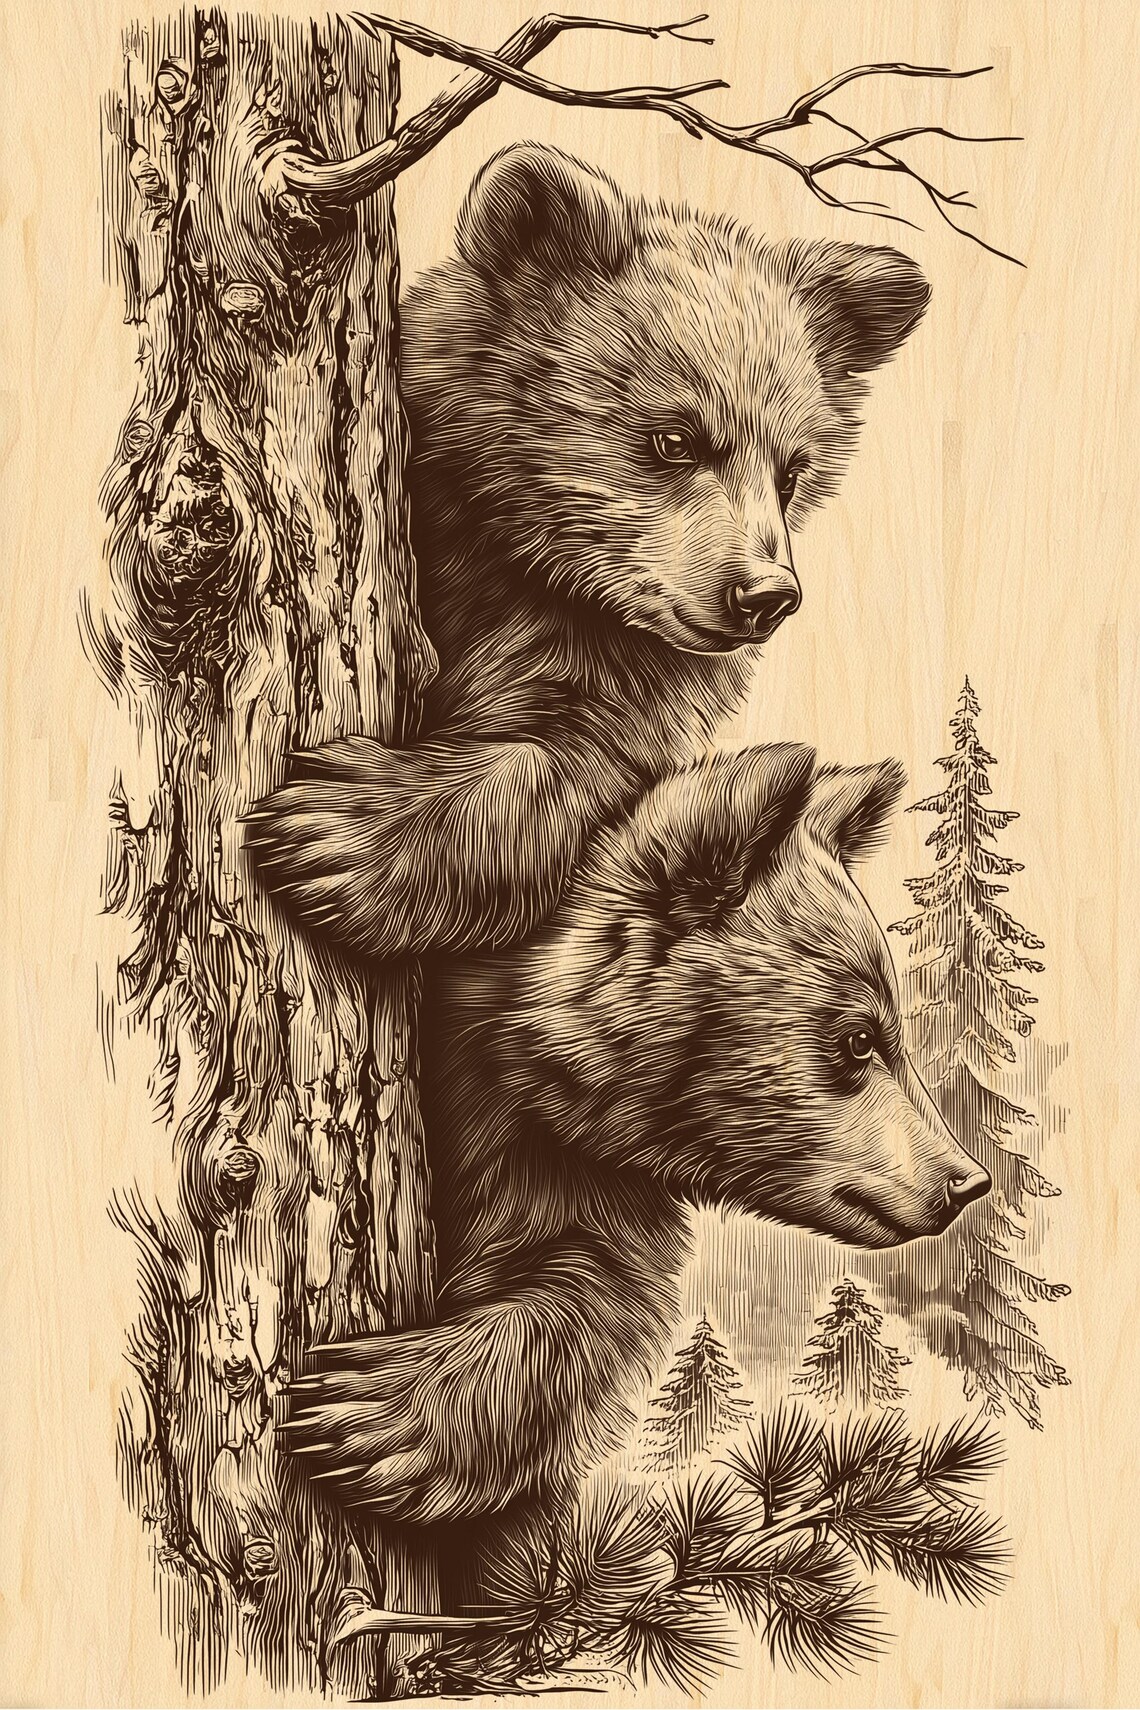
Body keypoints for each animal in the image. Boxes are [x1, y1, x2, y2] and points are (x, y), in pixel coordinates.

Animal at [245, 145, 930, 958]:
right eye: (674, 440)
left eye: (791, 471)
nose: (765, 596)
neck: (533, 555)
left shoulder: (624, 662)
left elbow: (576, 755)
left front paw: (335, 829)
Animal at [283, 746, 989, 1548]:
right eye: (861, 1039)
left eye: (889, 1031)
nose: (965, 1180)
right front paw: (332, 828)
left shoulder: (579, 1169)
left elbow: (587, 1290)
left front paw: (368, 1410)